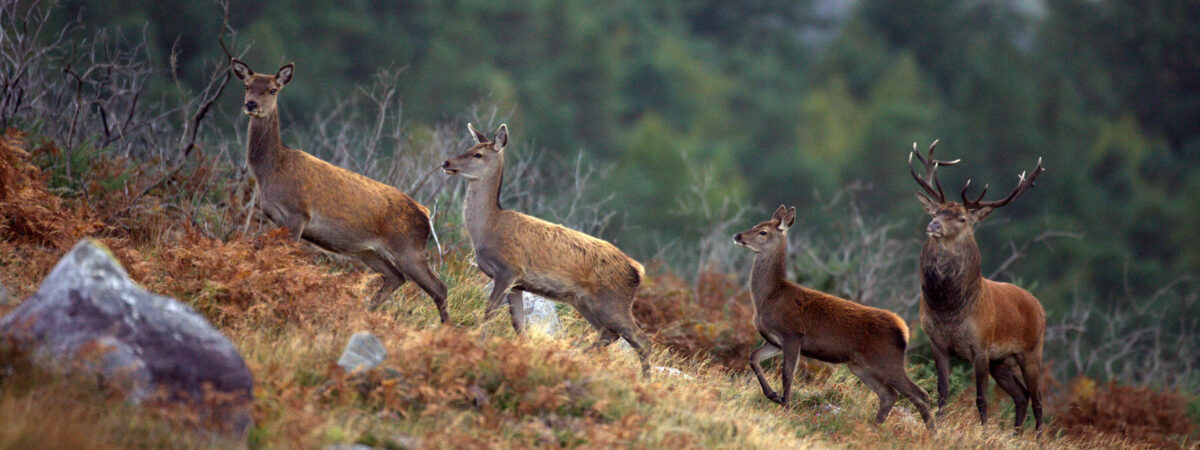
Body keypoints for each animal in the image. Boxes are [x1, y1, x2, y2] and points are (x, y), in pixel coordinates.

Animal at [230, 59, 450, 324]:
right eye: (246, 85)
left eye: (273, 89)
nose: (251, 104)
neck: (271, 172)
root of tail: (425, 212)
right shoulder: (276, 219)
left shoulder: (298, 214)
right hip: (368, 250)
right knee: (396, 277)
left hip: (409, 248)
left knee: (439, 287)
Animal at [441, 123, 652, 376]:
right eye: (468, 148)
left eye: (478, 154)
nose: (447, 163)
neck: (488, 227)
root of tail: (637, 270)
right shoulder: (518, 283)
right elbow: (518, 323)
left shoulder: (508, 269)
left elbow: (489, 311)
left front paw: (478, 344)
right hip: (585, 301)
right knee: (610, 333)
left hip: (613, 301)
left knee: (641, 340)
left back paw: (645, 380)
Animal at [733, 206, 935, 431]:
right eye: (755, 225)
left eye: (763, 232)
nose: (738, 235)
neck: (769, 297)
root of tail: (904, 330)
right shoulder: (774, 340)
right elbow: (753, 357)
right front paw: (774, 396)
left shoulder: (793, 334)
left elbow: (788, 375)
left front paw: (785, 408)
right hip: (859, 365)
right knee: (889, 394)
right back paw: (873, 429)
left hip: (887, 359)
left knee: (919, 394)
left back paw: (932, 433)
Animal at [907, 140, 1046, 433]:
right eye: (936, 212)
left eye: (961, 218)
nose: (933, 224)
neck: (949, 310)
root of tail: (1038, 305)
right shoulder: (937, 343)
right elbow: (942, 390)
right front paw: (937, 425)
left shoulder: (981, 346)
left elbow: (981, 397)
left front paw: (982, 431)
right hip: (1001, 362)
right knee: (1021, 395)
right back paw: (1016, 435)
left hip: (1032, 351)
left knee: (1037, 398)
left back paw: (1037, 437)